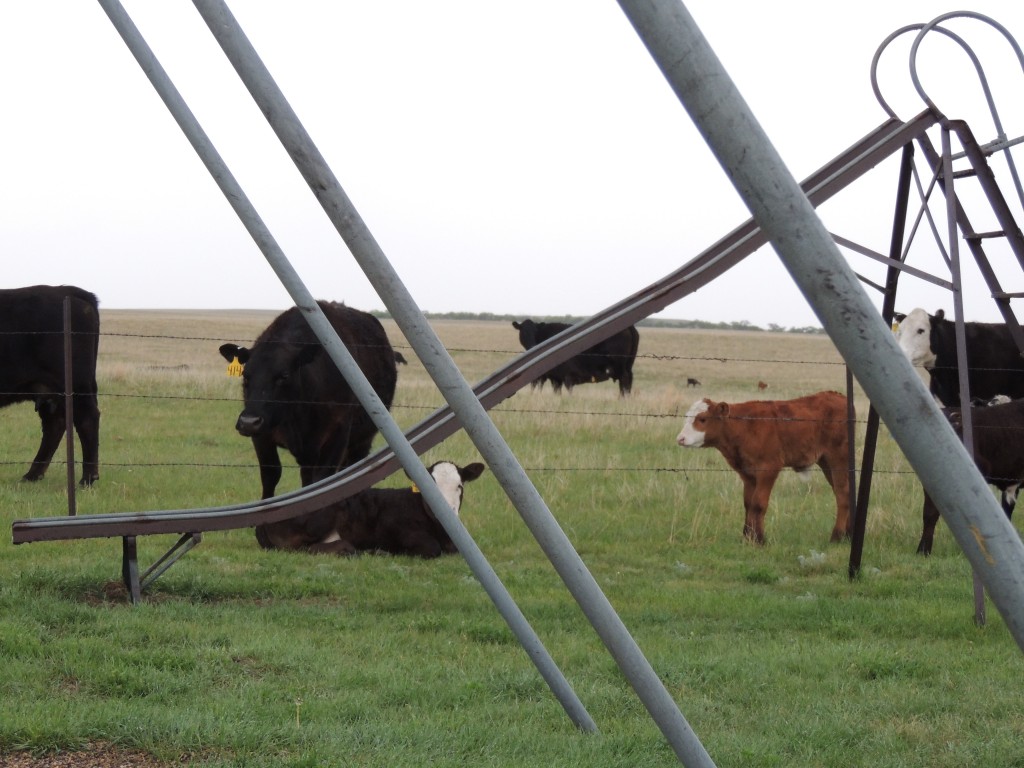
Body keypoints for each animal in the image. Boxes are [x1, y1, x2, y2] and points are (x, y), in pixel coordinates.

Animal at [0, 285, 101, 486]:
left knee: (87, 419)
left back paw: (87, 479)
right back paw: (32, 474)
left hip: (75, 386)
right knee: (55, 424)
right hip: (47, 390)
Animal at [218, 302, 397, 550]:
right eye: (246, 375)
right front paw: (263, 532)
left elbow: (324, 479)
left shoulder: (337, 434)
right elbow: (271, 474)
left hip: (361, 440)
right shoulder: (262, 435)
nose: (248, 421)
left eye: (283, 375)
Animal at [511, 318, 640, 396]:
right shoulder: (556, 377)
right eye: (523, 332)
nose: (532, 346)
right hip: (628, 365)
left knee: (624, 380)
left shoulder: (564, 376)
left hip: (620, 366)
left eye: (535, 332)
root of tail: (630, 327)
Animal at [676, 390, 852, 544]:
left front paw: (759, 539)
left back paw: (837, 536)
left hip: (838, 458)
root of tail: (837, 395)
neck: (743, 427)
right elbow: (748, 503)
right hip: (826, 462)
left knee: (843, 494)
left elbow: (758, 504)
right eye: (686, 417)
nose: (680, 438)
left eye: (702, 419)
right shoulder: (747, 474)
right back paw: (848, 534)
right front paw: (747, 537)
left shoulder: (769, 468)